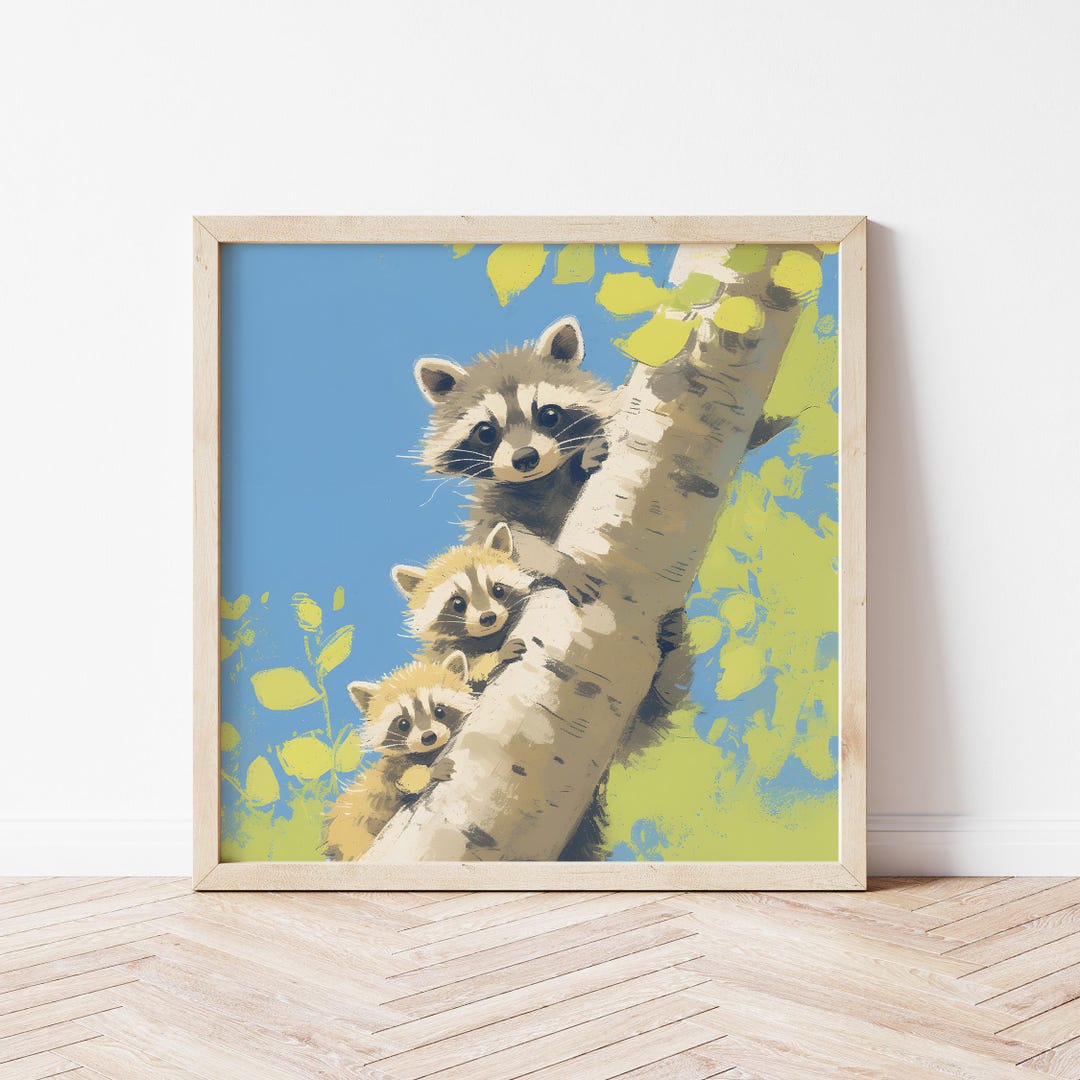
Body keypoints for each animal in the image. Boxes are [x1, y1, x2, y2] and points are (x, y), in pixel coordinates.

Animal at [323, 652, 475, 862]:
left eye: (440, 711)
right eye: (403, 723)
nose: (428, 737)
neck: (427, 753)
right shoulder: (393, 769)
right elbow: (405, 780)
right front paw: (430, 772)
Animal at [392, 522, 534, 689]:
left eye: (498, 590)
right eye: (458, 604)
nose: (488, 617)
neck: (486, 638)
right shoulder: (443, 652)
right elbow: (471, 670)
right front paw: (497, 656)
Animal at [414, 316, 615, 605]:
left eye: (549, 415)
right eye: (486, 432)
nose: (525, 458)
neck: (540, 482)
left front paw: (582, 459)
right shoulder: (490, 507)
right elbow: (508, 543)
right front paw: (560, 564)